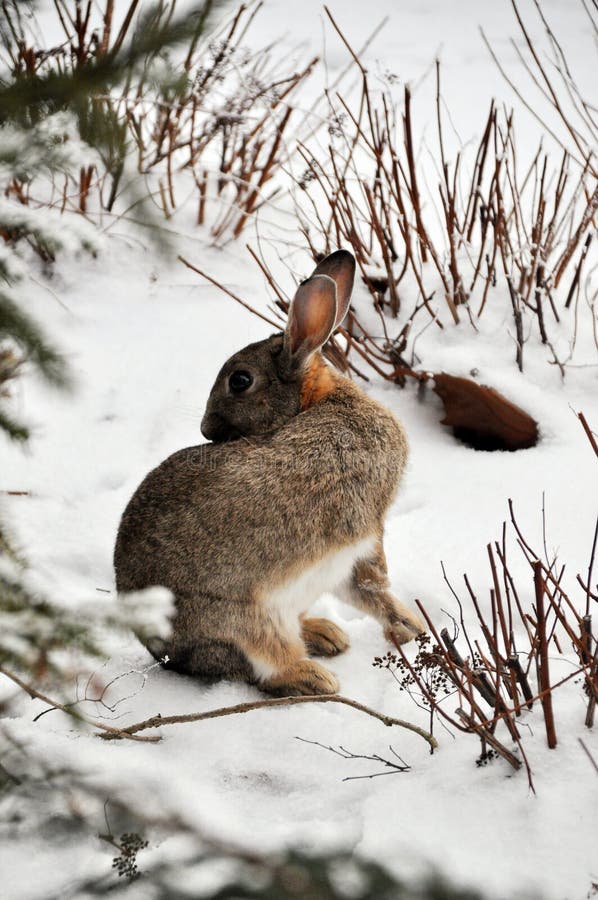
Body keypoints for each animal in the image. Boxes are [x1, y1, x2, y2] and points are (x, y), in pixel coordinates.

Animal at [114, 249, 425, 696]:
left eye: (240, 380)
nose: (206, 430)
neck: (319, 401)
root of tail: (171, 654)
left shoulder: (355, 547)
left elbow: (365, 588)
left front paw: (411, 627)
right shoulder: (367, 528)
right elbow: (372, 580)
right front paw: (408, 627)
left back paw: (325, 634)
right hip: (245, 619)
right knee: (268, 666)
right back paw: (315, 676)